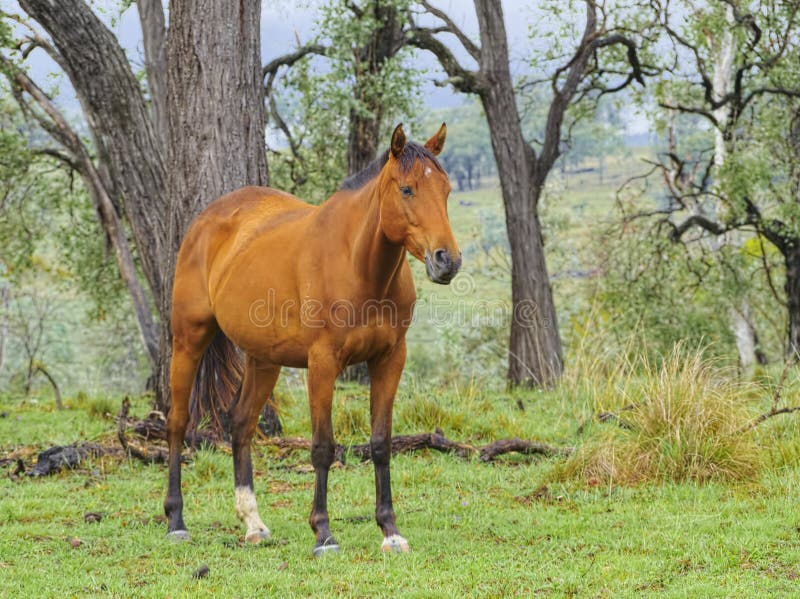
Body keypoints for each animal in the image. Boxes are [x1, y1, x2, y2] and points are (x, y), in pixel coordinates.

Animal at [164, 124, 461, 555]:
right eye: (407, 189)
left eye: (446, 190)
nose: (447, 261)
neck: (357, 263)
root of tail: (207, 220)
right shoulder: (322, 364)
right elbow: (322, 446)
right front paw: (323, 533)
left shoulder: (390, 360)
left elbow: (381, 443)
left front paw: (390, 530)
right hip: (188, 340)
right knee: (177, 423)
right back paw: (176, 521)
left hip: (263, 359)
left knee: (241, 423)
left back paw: (253, 523)